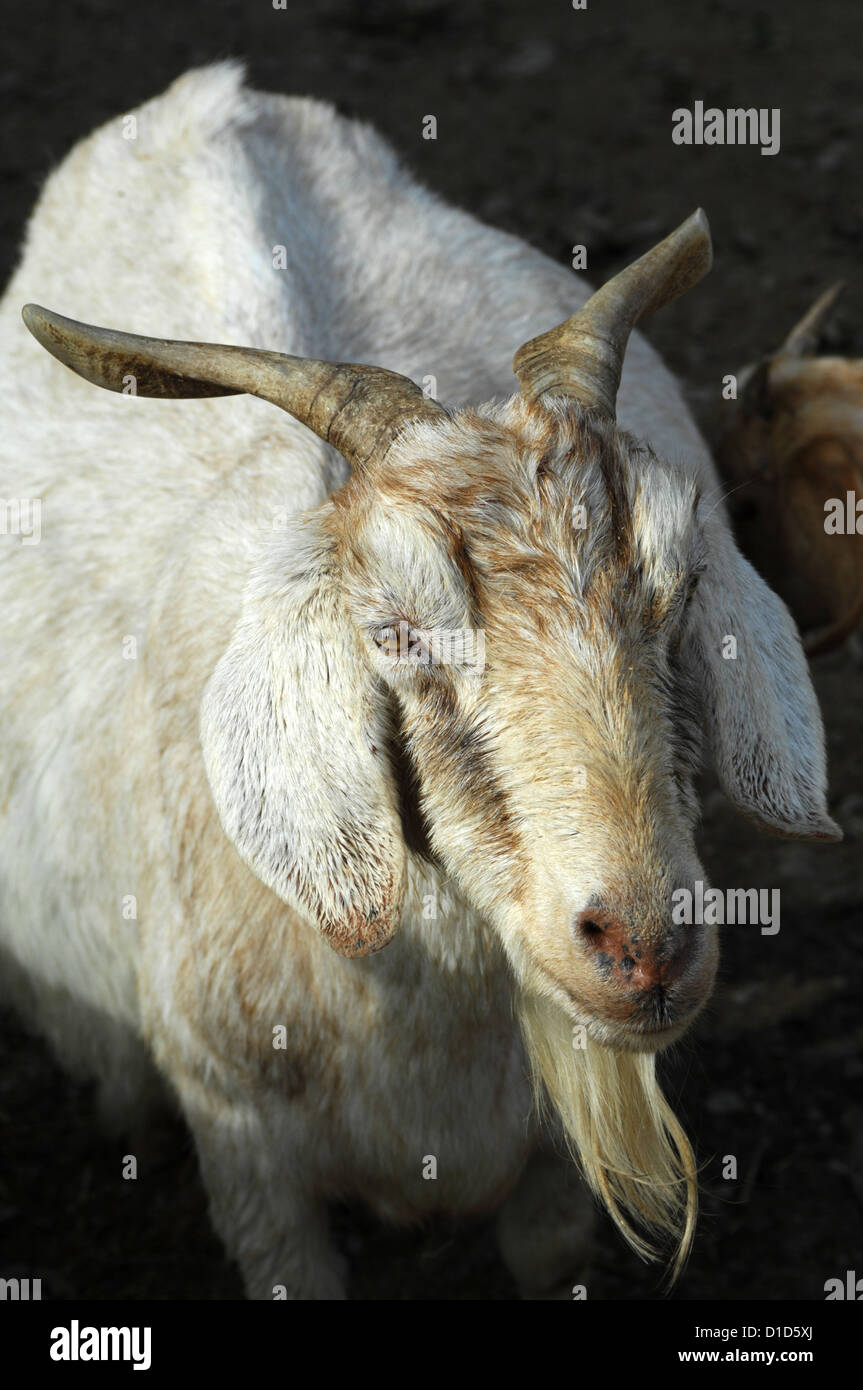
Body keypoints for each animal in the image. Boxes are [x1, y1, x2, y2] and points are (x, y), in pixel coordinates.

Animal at [0, 63, 840, 1299]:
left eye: (680, 585)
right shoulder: (249, 1159)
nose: (642, 944)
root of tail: (215, 97)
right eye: (394, 633)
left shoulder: (548, 1176)